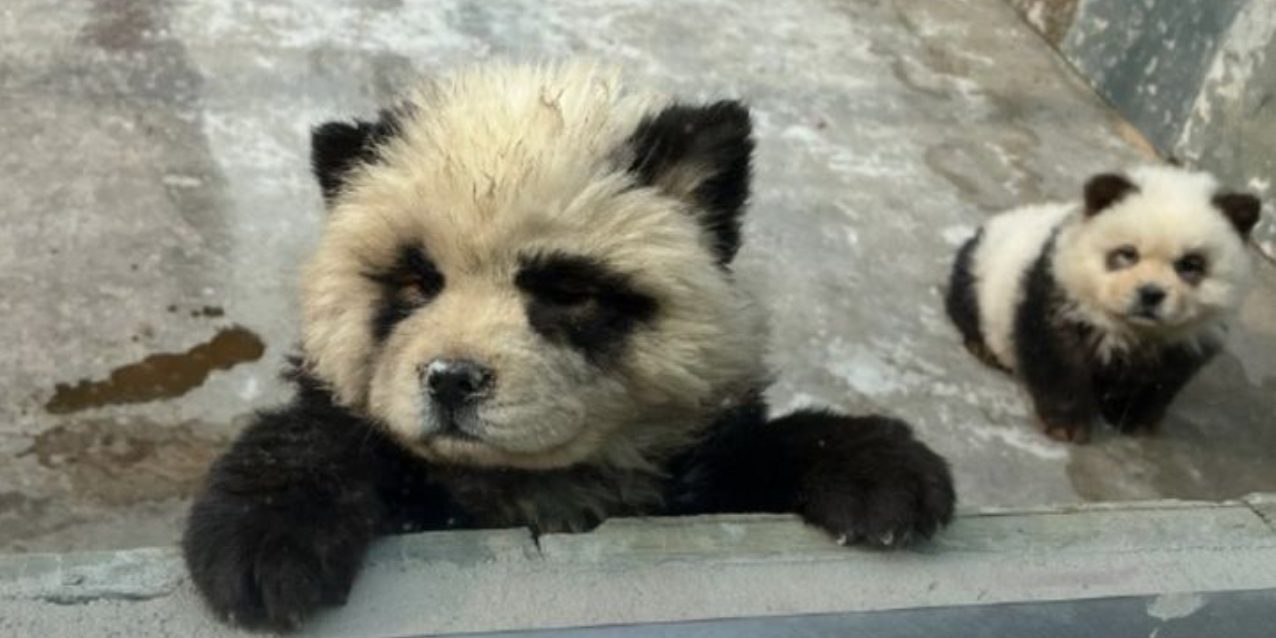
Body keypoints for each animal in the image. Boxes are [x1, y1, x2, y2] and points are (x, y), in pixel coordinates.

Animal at [183, 63, 956, 631]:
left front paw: (883, 474)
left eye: (568, 292)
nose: (452, 379)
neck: (527, 483)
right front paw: (261, 543)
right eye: (414, 282)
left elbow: (757, 453)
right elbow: (318, 432)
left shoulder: (688, 472)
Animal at [946, 165, 1262, 443]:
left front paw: (1134, 421)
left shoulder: (1188, 337)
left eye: (1190, 264)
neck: (1135, 330)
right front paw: (1066, 426)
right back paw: (983, 348)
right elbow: (1058, 359)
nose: (1150, 293)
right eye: (1127, 253)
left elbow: (1161, 380)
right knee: (965, 299)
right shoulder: (1059, 292)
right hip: (983, 268)